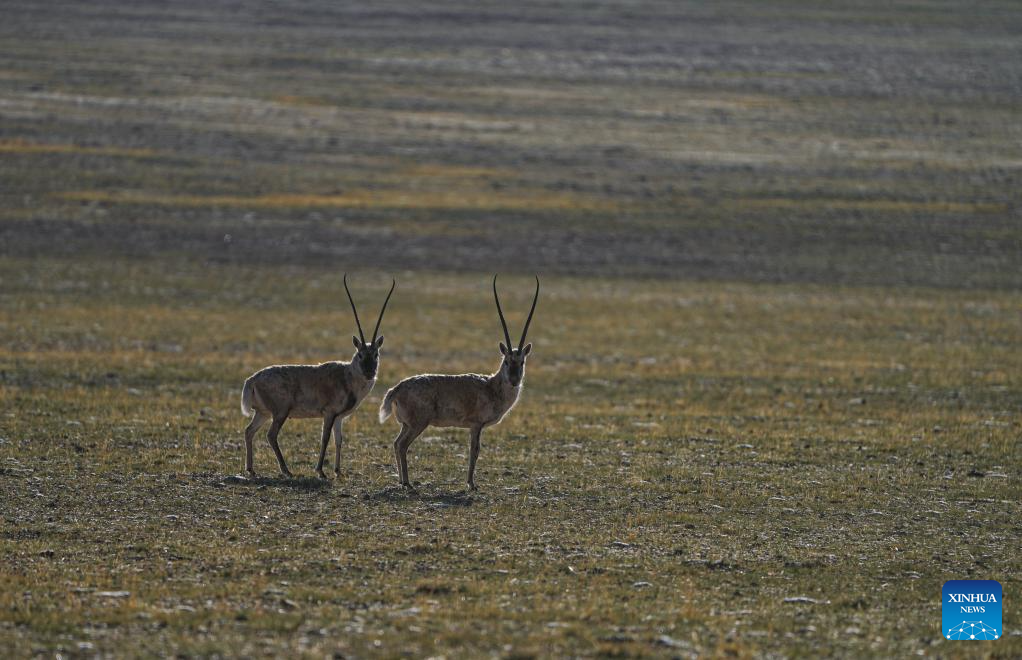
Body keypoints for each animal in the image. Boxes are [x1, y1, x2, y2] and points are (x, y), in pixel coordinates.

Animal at [239, 275, 395, 479]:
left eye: (376, 354)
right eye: (360, 354)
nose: (370, 373)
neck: (348, 375)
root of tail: (252, 380)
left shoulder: (339, 417)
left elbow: (339, 440)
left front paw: (338, 471)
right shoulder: (328, 413)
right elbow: (325, 439)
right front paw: (321, 471)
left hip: (263, 413)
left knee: (249, 431)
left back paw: (251, 469)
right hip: (280, 412)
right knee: (271, 435)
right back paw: (286, 470)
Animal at [379, 275, 539, 490]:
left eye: (521, 362)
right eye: (506, 361)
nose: (514, 380)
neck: (491, 386)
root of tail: (396, 389)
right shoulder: (476, 425)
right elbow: (475, 451)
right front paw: (471, 484)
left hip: (407, 425)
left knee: (396, 443)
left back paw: (402, 481)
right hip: (418, 423)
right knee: (403, 445)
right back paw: (408, 483)